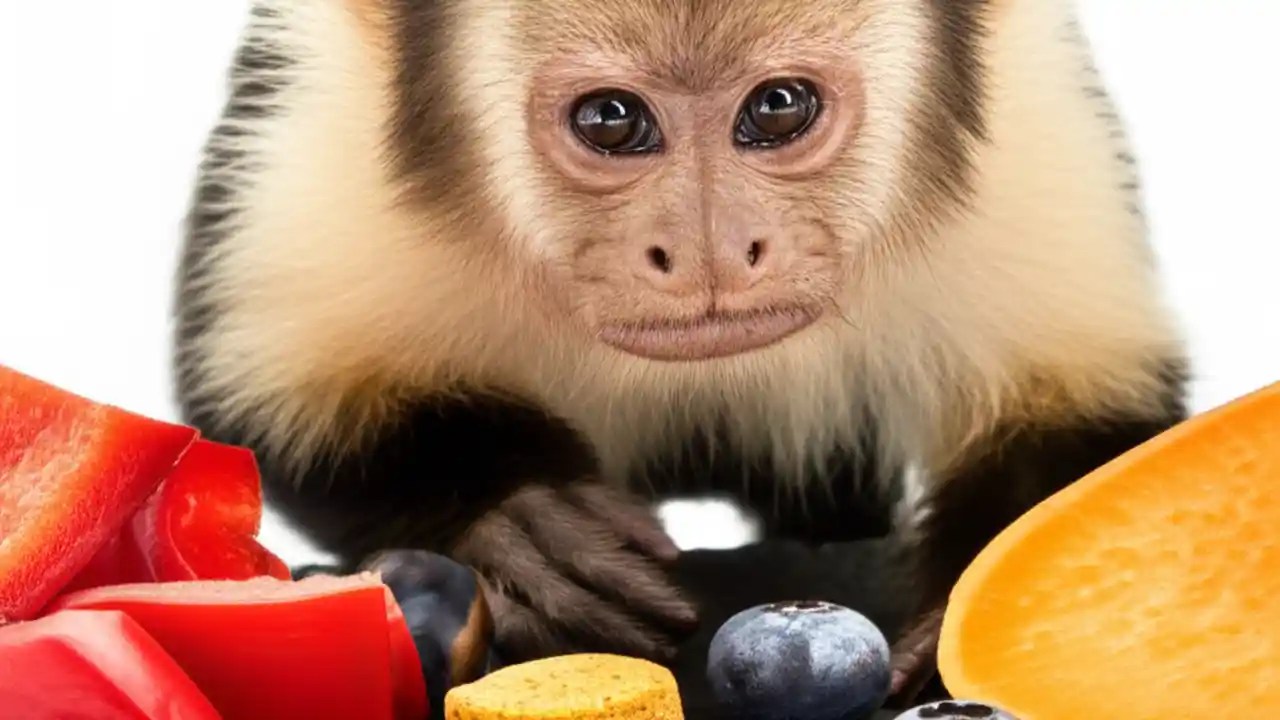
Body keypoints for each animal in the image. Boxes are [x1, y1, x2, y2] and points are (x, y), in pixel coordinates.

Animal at [173, 0, 1190, 706]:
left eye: (778, 108)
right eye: (611, 120)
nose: (710, 250)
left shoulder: (1020, 117)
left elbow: (1085, 419)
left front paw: (984, 622)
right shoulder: (331, 106)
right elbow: (271, 407)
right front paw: (519, 517)